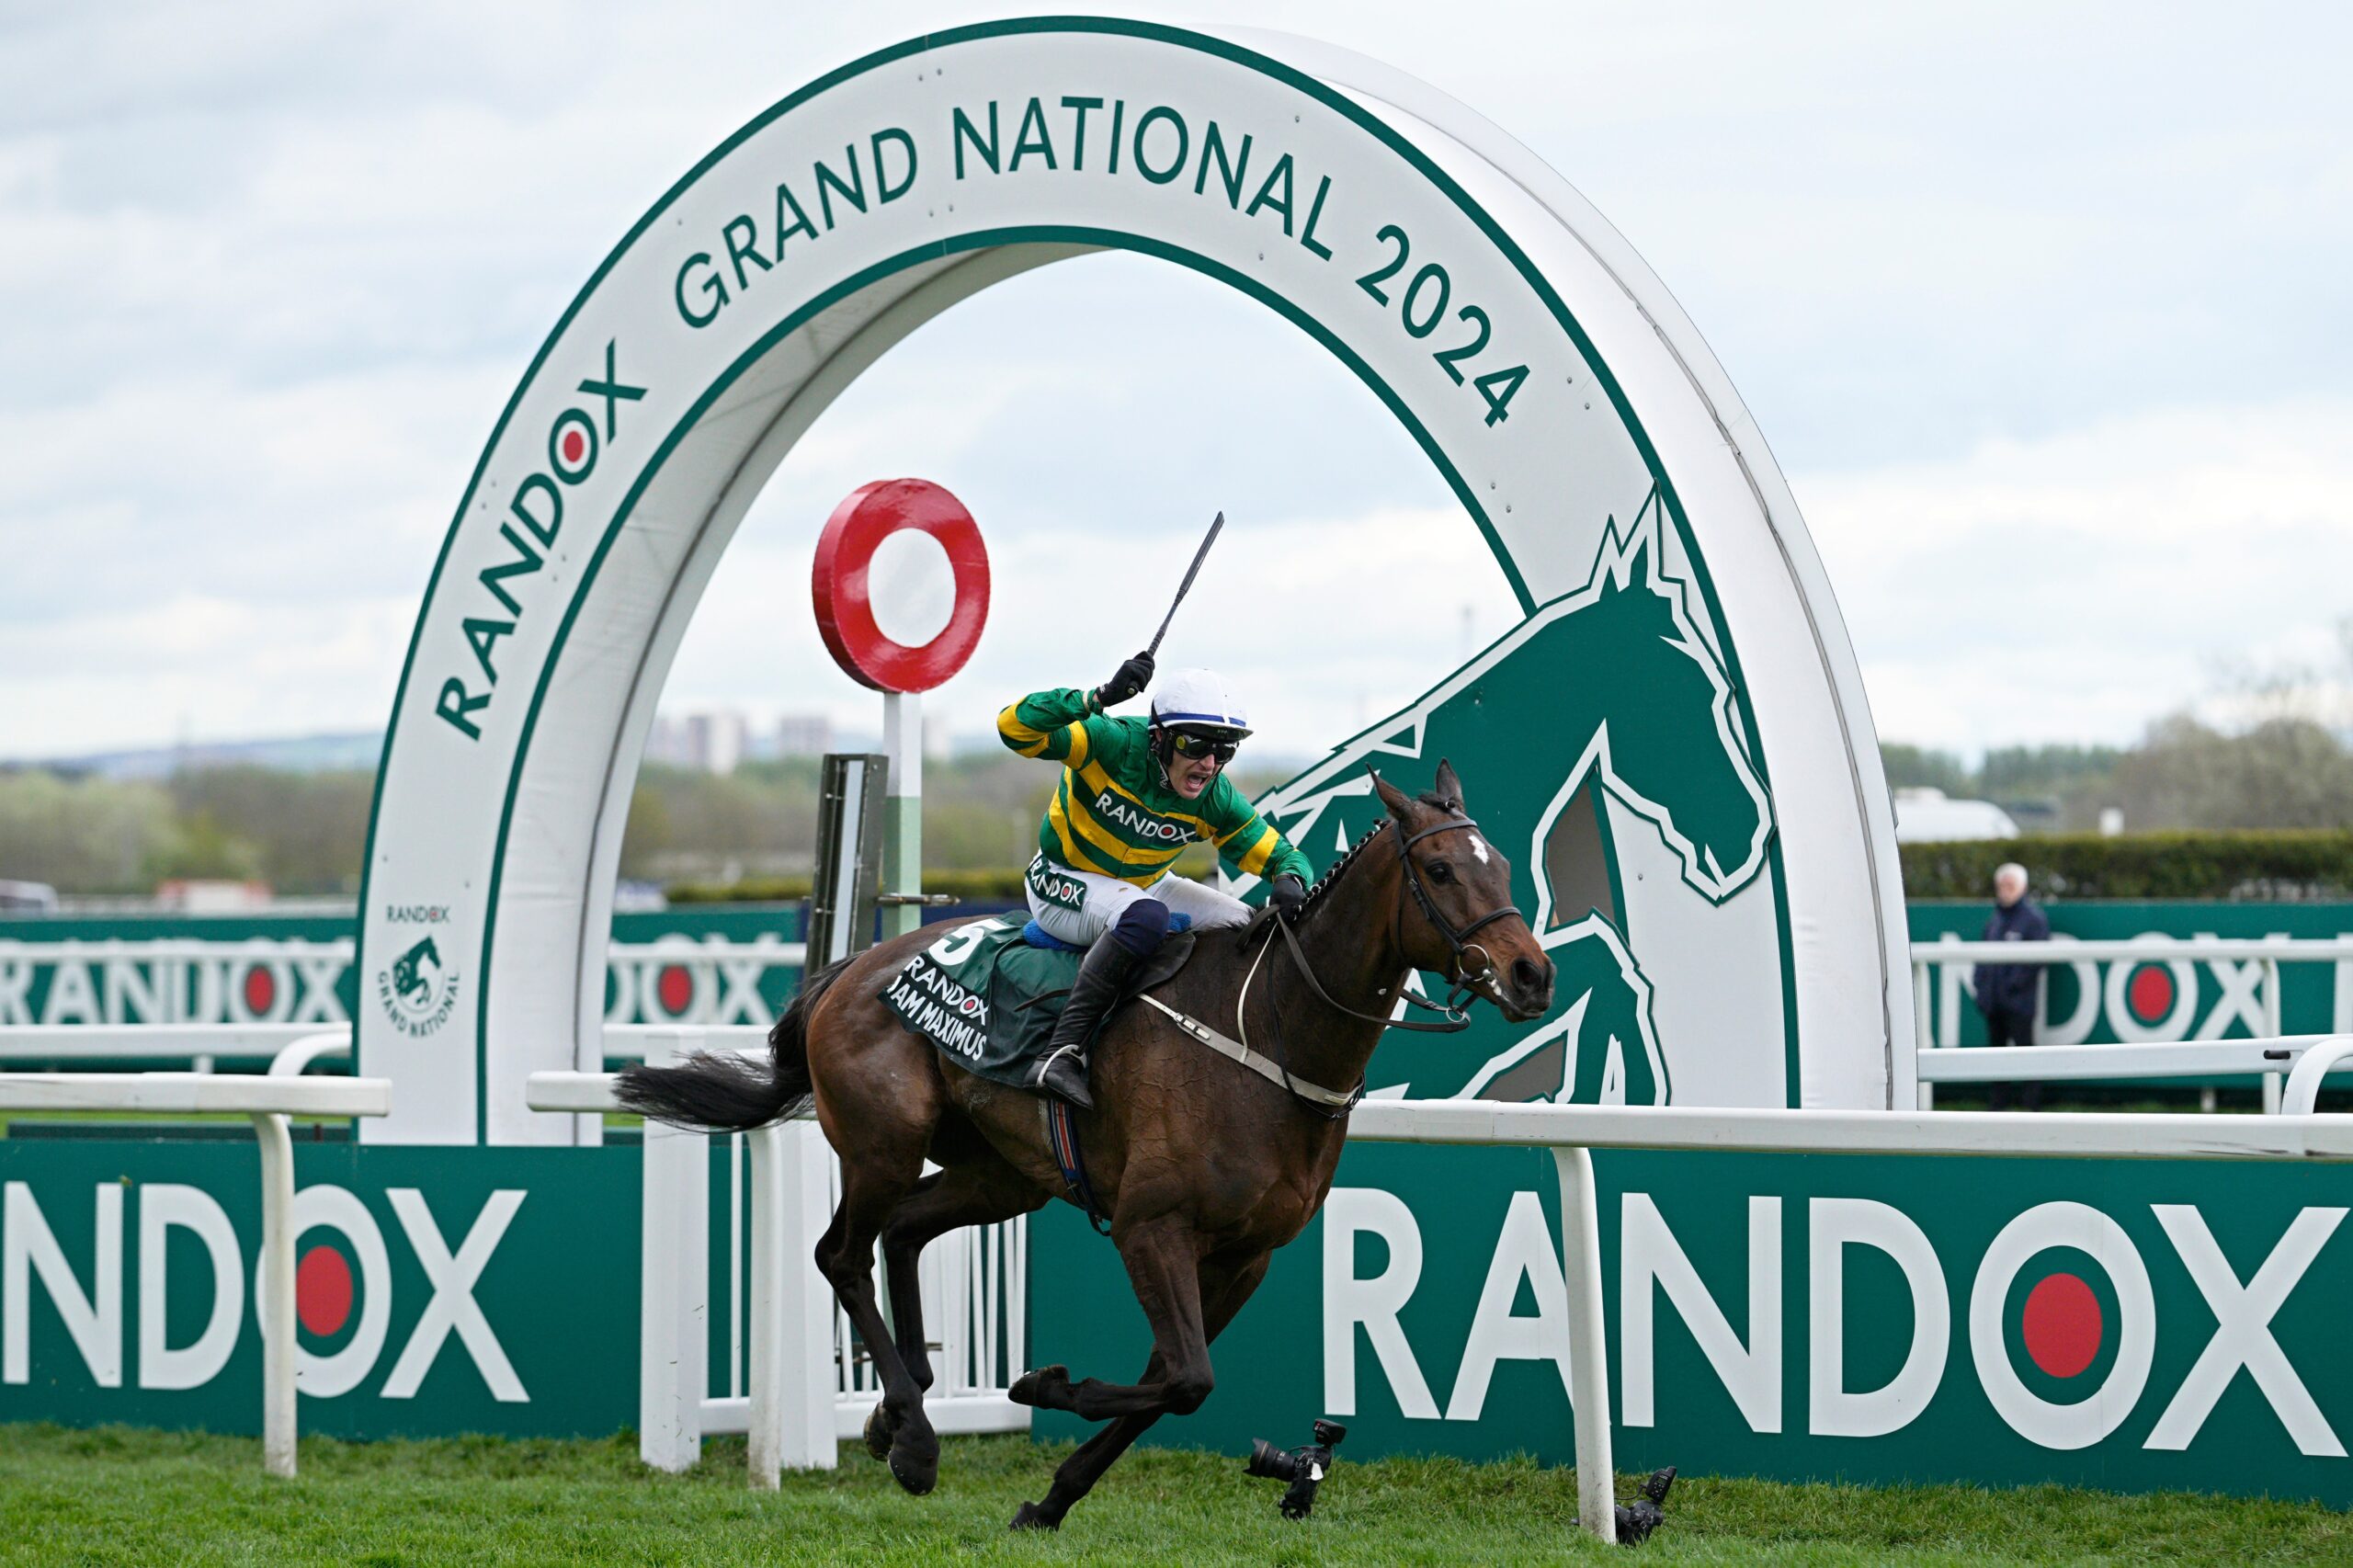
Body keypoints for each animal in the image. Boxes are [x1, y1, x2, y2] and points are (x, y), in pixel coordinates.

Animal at [616, 757, 1552, 1525]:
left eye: (1502, 866)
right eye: (1440, 869)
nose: (1531, 974)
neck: (1271, 1034)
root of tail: (846, 971)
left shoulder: (1247, 1256)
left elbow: (1169, 1383)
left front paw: (1050, 1498)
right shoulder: (1152, 1225)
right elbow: (1185, 1379)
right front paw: (1041, 1383)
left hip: (1002, 1175)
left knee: (904, 1232)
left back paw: (896, 1408)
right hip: (884, 1142)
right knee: (840, 1254)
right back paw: (915, 1439)